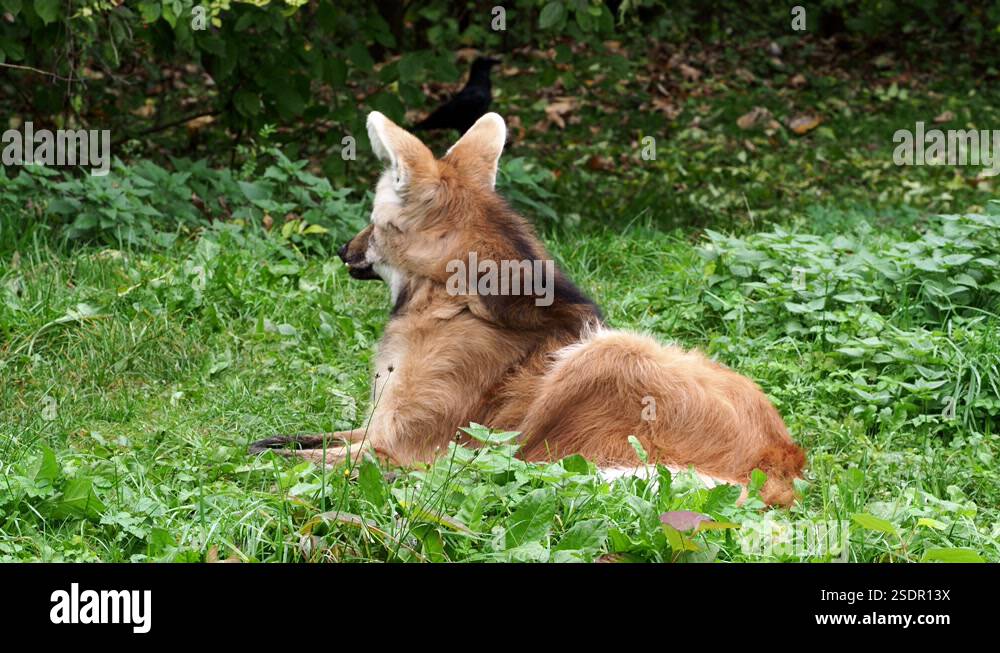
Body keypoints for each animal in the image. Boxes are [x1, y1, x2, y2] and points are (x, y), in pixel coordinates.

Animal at [250, 111, 806, 506]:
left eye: (376, 221)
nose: (343, 250)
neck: (449, 300)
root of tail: (784, 459)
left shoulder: (405, 444)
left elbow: (322, 457)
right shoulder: (380, 426)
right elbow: (305, 438)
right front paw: (271, 441)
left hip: (602, 356)